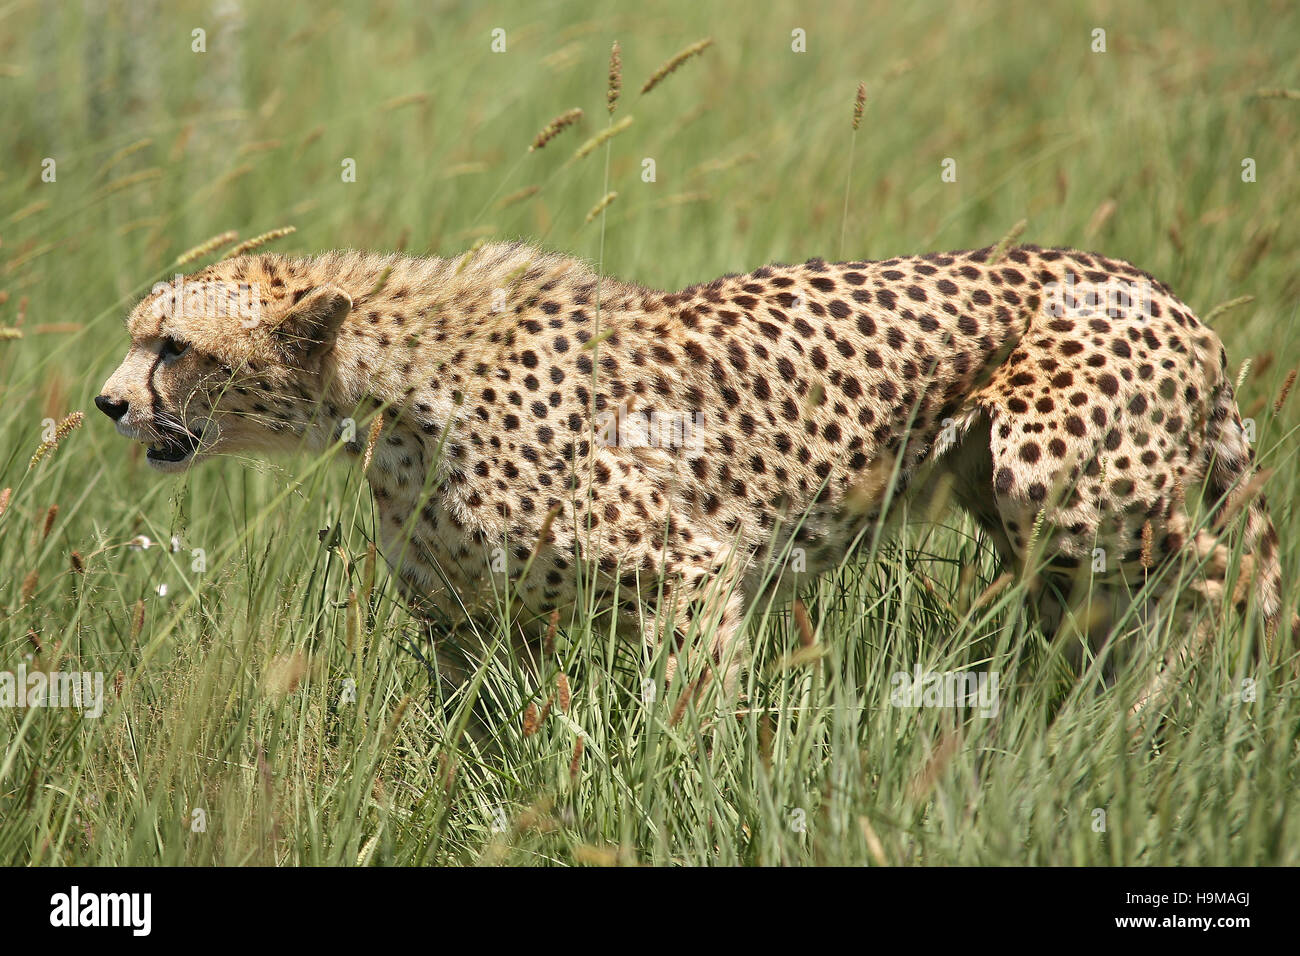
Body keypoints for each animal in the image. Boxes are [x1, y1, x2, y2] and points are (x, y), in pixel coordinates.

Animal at [96, 240, 1285, 716]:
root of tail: (1154, 287)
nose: (107, 403)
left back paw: (1183, 712)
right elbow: (481, 745)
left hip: (1061, 486)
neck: (382, 397)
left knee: (1222, 577)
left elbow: (691, 714)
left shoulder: (692, 570)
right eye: (141, 335)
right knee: (1112, 612)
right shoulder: (471, 625)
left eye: (174, 346)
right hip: (1029, 526)